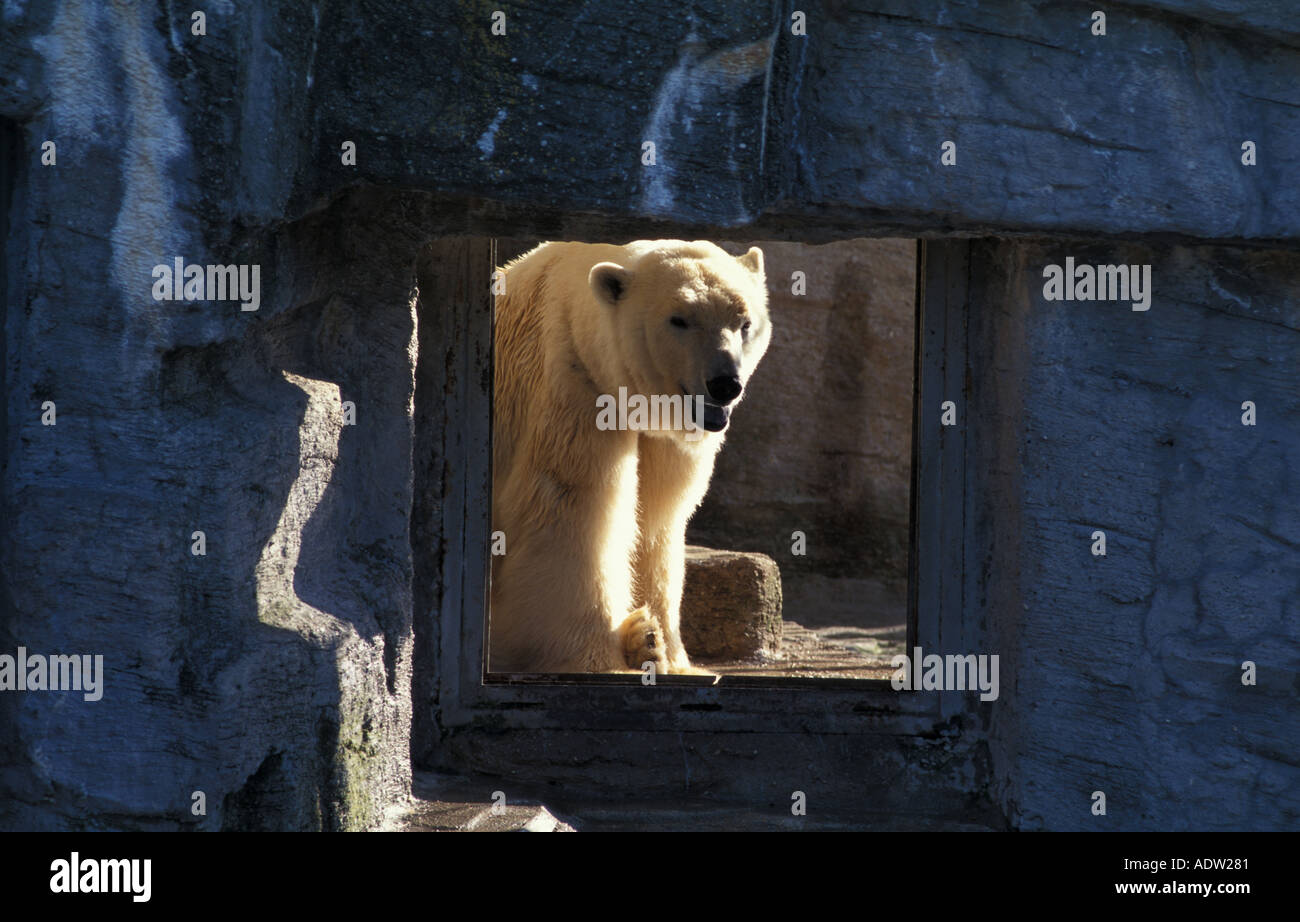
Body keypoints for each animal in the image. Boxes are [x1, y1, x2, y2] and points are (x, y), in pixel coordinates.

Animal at [488, 239, 771, 675]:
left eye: (744, 322)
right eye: (679, 320)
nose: (725, 383)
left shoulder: (663, 443)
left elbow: (656, 523)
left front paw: (670, 654)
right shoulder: (575, 388)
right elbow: (572, 514)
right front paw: (598, 657)